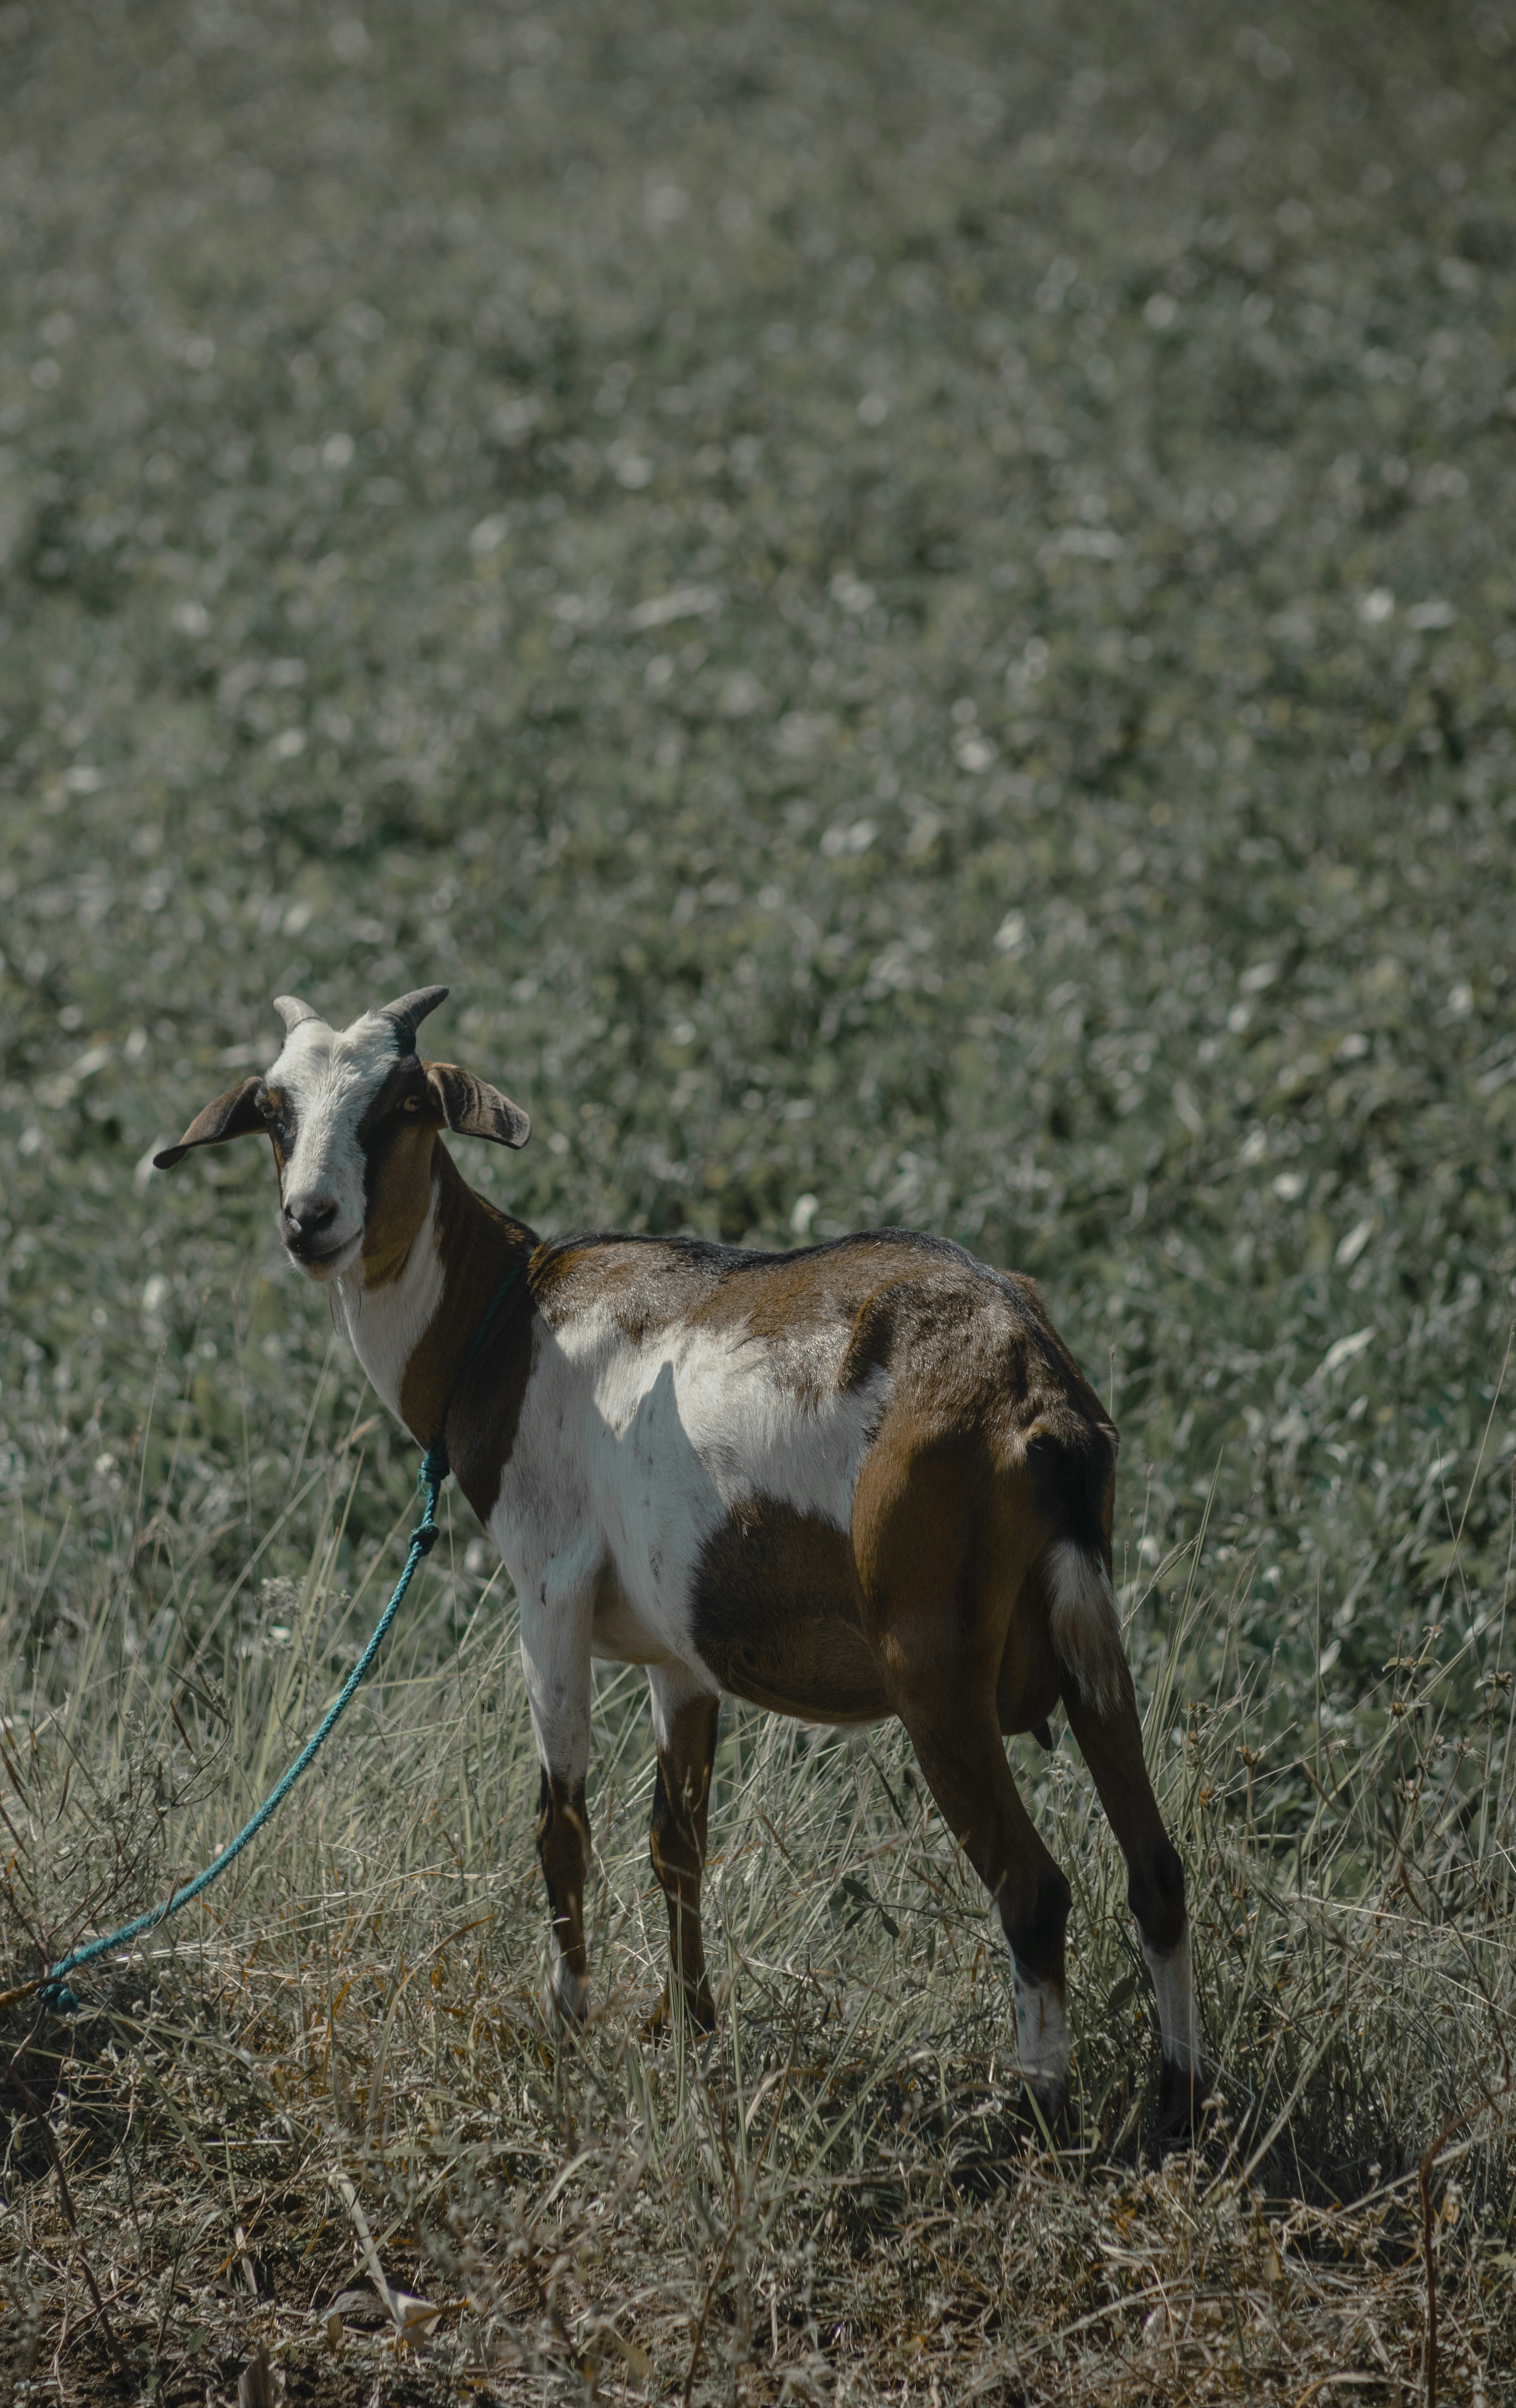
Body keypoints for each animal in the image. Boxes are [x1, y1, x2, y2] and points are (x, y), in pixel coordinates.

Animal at [155, 986, 1199, 2124]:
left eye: (401, 1105)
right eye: (274, 1110)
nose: (311, 1221)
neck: (506, 1320)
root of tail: (1032, 1392)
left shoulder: (549, 1592)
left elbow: (561, 1827)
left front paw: (568, 2031)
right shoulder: (678, 1655)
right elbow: (677, 1844)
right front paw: (694, 2034)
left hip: (934, 1669)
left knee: (1031, 1888)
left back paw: (1038, 2114)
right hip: (1088, 1632)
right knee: (1156, 1869)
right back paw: (1177, 2104)